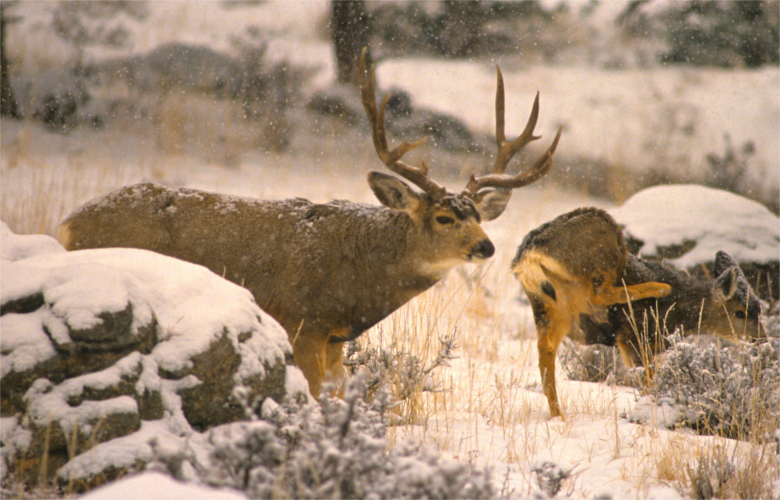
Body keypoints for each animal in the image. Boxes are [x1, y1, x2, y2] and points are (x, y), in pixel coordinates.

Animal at [58, 50, 562, 398]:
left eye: (477, 215)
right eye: (443, 216)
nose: (486, 247)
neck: (358, 279)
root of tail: (68, 223)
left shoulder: (335, 339)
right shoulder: (301, 323)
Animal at [511, 207, 765, 417]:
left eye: (759, 308)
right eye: (740, 312)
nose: (761, 339)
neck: (679, 313)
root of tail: (528, 254)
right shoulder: (635, 339)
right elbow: (648, 382)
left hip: (550, 305)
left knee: (546, 350)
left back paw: (557, 414)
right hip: (604, 234)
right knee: (599, 293)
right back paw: (660, 288)